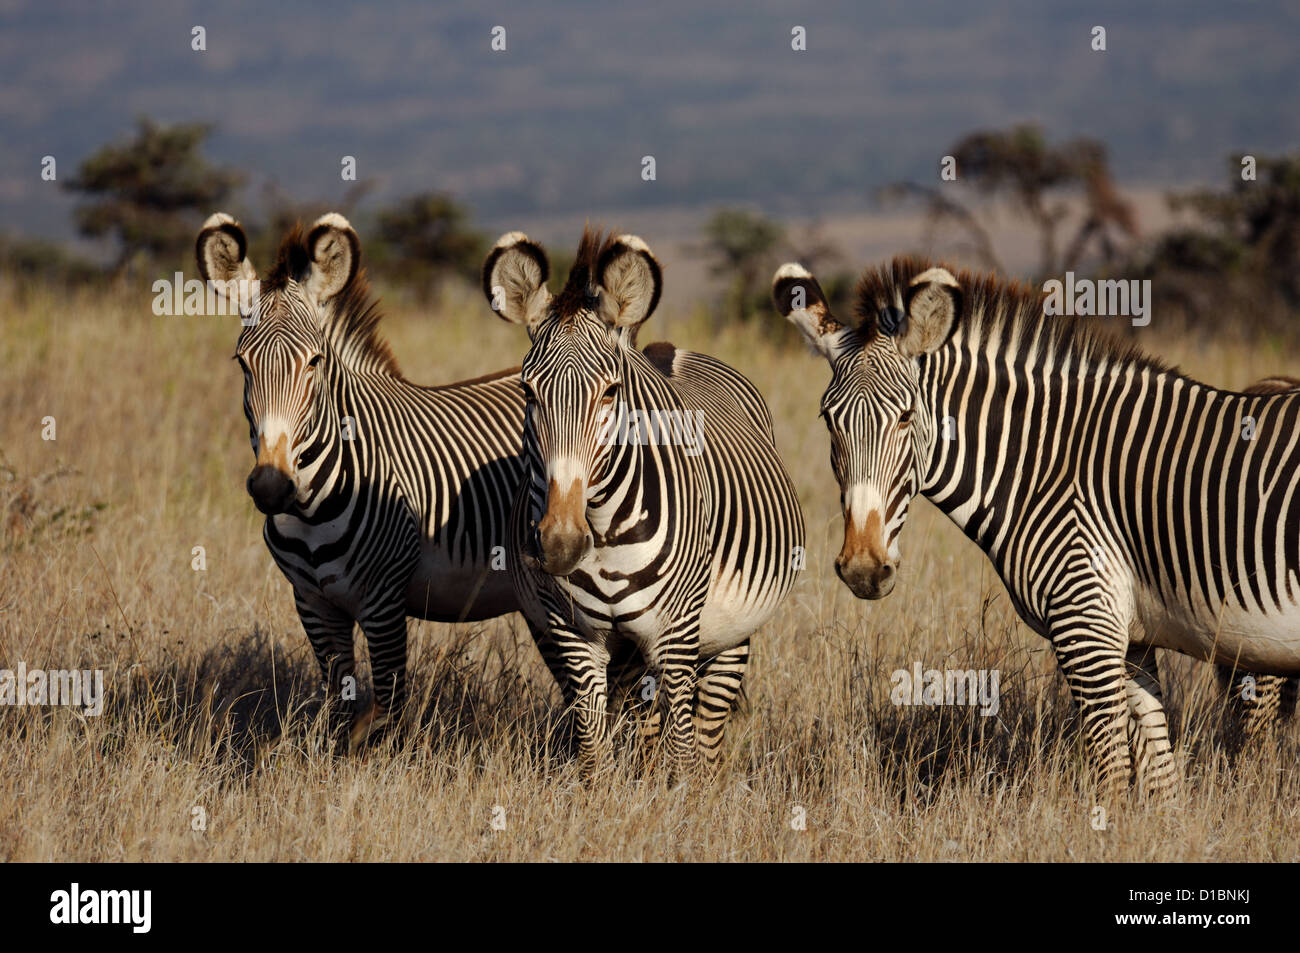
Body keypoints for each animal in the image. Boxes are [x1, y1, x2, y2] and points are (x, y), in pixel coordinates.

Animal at [196, 211, 529, 750]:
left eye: (315, 362)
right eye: (241, 363)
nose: (270, 487)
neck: (311, 509)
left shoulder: (384, 601)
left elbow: (389, 708)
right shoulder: (313, 603)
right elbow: (338, 705)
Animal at [482, 228, 805, 774]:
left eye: (611, 392)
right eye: (528, 393)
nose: (560, 544)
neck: (605, 530)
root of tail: (665, 347)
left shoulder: (675, 634)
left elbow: (681, 750)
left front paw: (677, 796)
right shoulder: (574, 634)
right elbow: (593, 748)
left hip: (730, 635)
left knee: (704, 733)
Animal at [772, 257, 1300, 800]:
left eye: (905, 417)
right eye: (827, 420)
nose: (862, 568)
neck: (1050, 465)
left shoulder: (1085, 623)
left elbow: (1111, 778)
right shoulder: (1132, 636)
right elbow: (1160, 782)